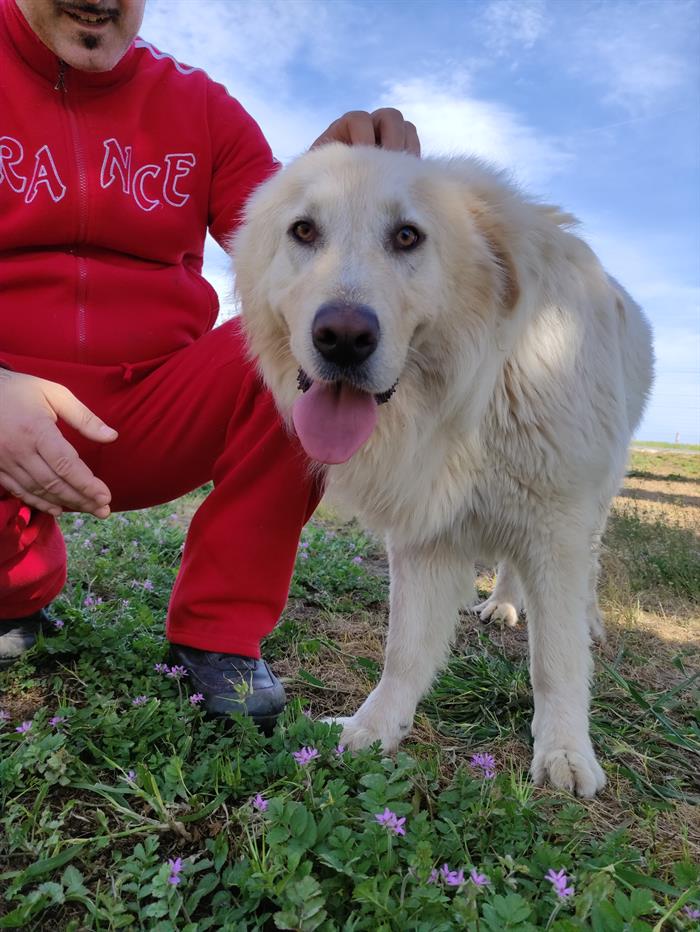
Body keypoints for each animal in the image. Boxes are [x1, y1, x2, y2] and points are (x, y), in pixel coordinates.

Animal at [232, 144, 652, 792]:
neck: (466, 393)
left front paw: (564, 751)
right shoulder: (422, 534)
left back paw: (585, 621)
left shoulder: (556, 524)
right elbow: (403, 650)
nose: (343, 338)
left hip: (594, 498)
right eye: (303, 230)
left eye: (408, 236)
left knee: (587, 571)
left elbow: (556, 658)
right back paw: (502, 603)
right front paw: (374, 728)